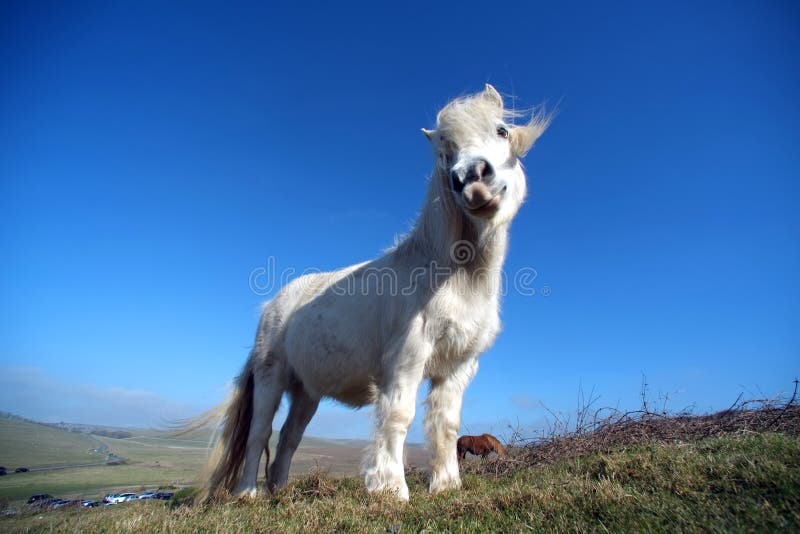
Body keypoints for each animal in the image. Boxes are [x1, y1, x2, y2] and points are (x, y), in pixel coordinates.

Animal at [195, 84, 550, 502]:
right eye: (445, 152)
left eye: (501, 131)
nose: (471, 179)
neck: (452, 277)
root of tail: (273, 303)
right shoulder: (407, 358)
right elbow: (398, 416)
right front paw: (391, 489)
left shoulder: (457, 367)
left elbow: (445, 424)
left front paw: (446, 486)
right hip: (272, 378)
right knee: (259, 433)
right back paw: (247, 494)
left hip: (307, 392)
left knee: (289, 438)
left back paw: (279, 493)